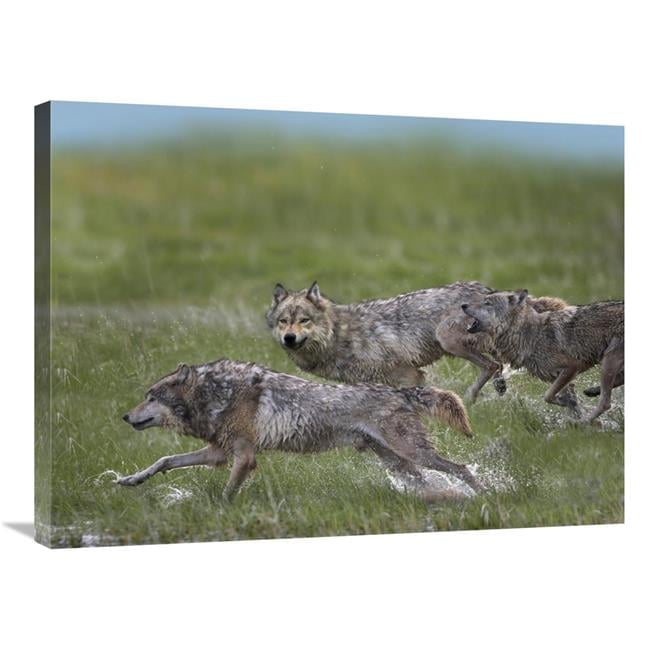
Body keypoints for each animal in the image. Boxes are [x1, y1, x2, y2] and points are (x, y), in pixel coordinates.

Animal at [119, 359, 482, 499]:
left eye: (151, 397)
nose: (124, 416)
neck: (217, 393)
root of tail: (400, 392)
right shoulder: (218, 453)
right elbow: (164, 460)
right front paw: (130, 480)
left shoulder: (244, 457)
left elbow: (226, 494)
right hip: (399, 463)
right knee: (431, 483)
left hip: (413, 453)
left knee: (462, 468)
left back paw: (486, 494)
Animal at [267, 280, 568, 401]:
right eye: (283, 321)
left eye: (304, 320)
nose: (289, 338)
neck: (339, 336)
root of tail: (486, 290)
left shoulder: (409, 375)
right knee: (496, 364)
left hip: (447, 339)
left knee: (492, 365)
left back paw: (472, 397)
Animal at [461, 290, 624, 424]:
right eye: (483, 299)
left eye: (487, 303)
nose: (463, 305)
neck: (531, 335)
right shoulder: (558, 377)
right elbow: (568, 401)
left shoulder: (573, 366)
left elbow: (548, 396)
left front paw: (573, 413)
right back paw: (592, 392)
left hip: (608, 361)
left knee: (605, 403)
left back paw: (583, 422)